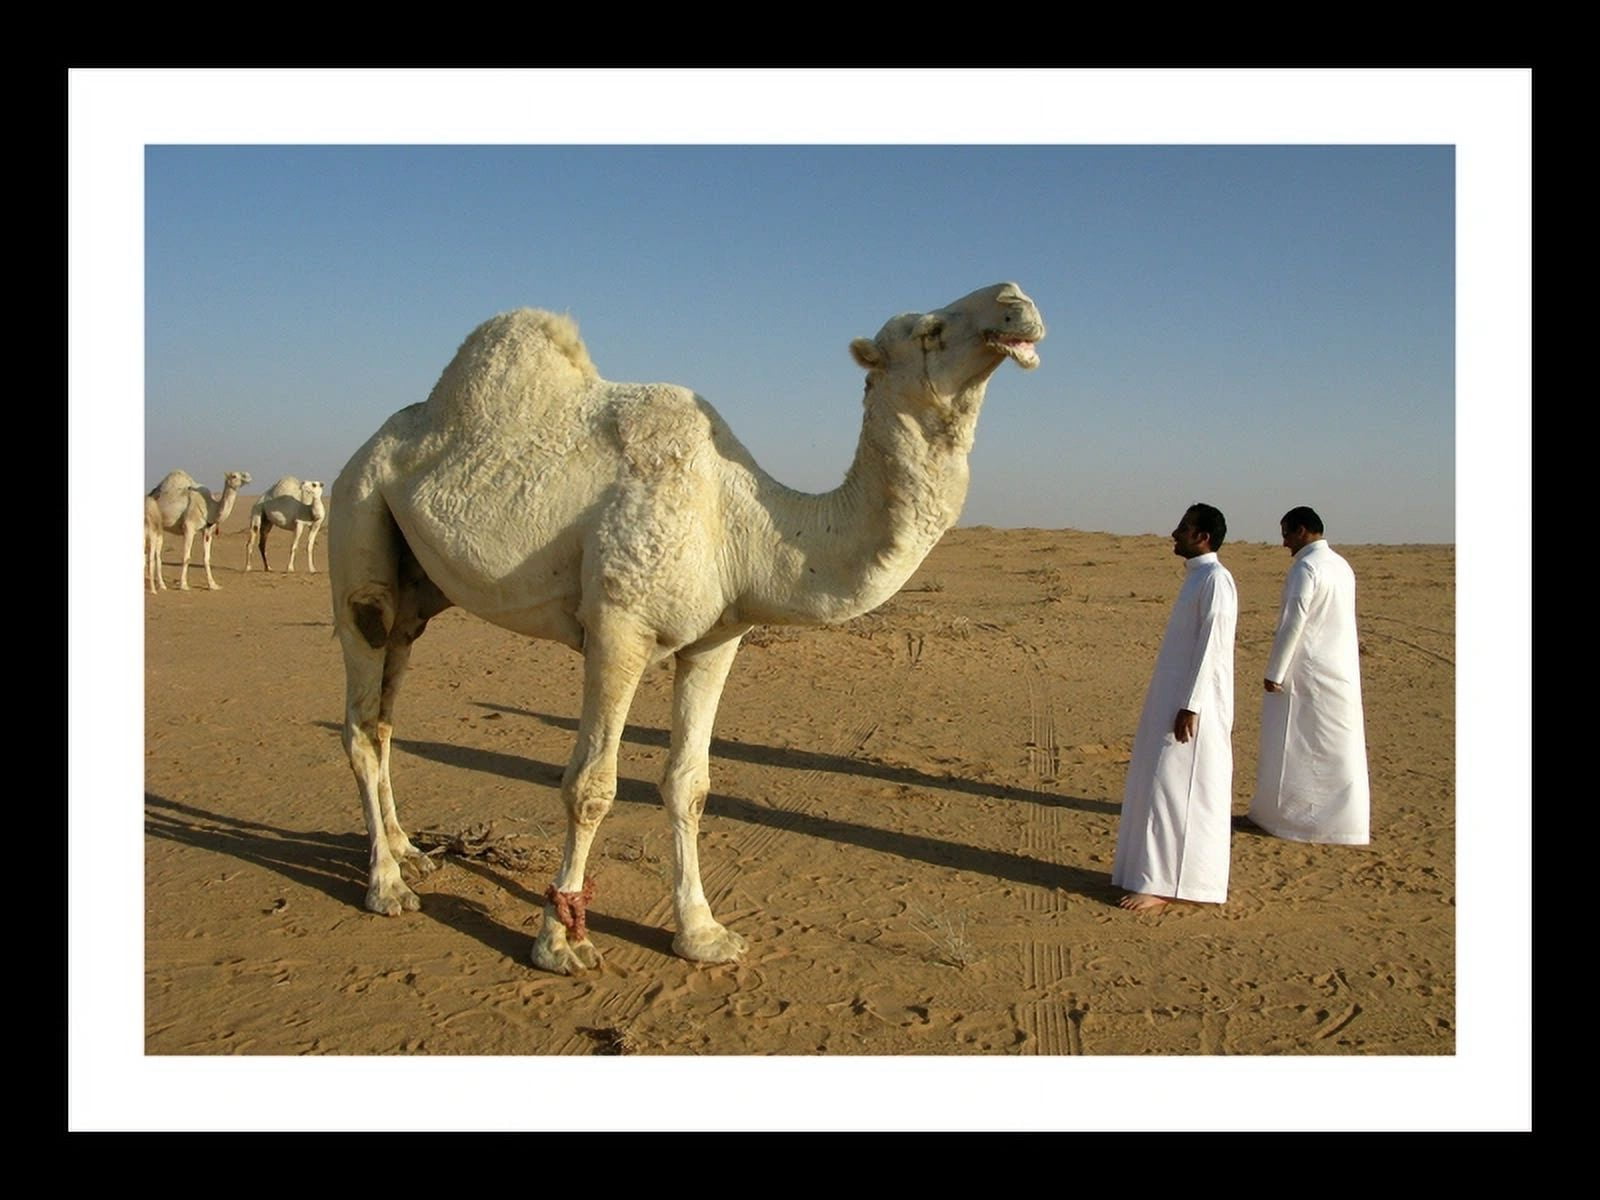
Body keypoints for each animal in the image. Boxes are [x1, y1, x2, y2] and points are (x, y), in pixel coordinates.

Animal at [328, 282, 1045, 975]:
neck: (744, 524)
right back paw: (388, 886)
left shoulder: (717, 640)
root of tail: (366, 447)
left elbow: (689, 785)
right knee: (361, 716)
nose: (1017, 302)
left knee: (387, 711)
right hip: (358, 518)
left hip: (416, 592)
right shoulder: (618, 629)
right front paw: (560, 943)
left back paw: (409, 850)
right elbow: (590, 787)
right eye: (929, 330)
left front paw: (702, 933)